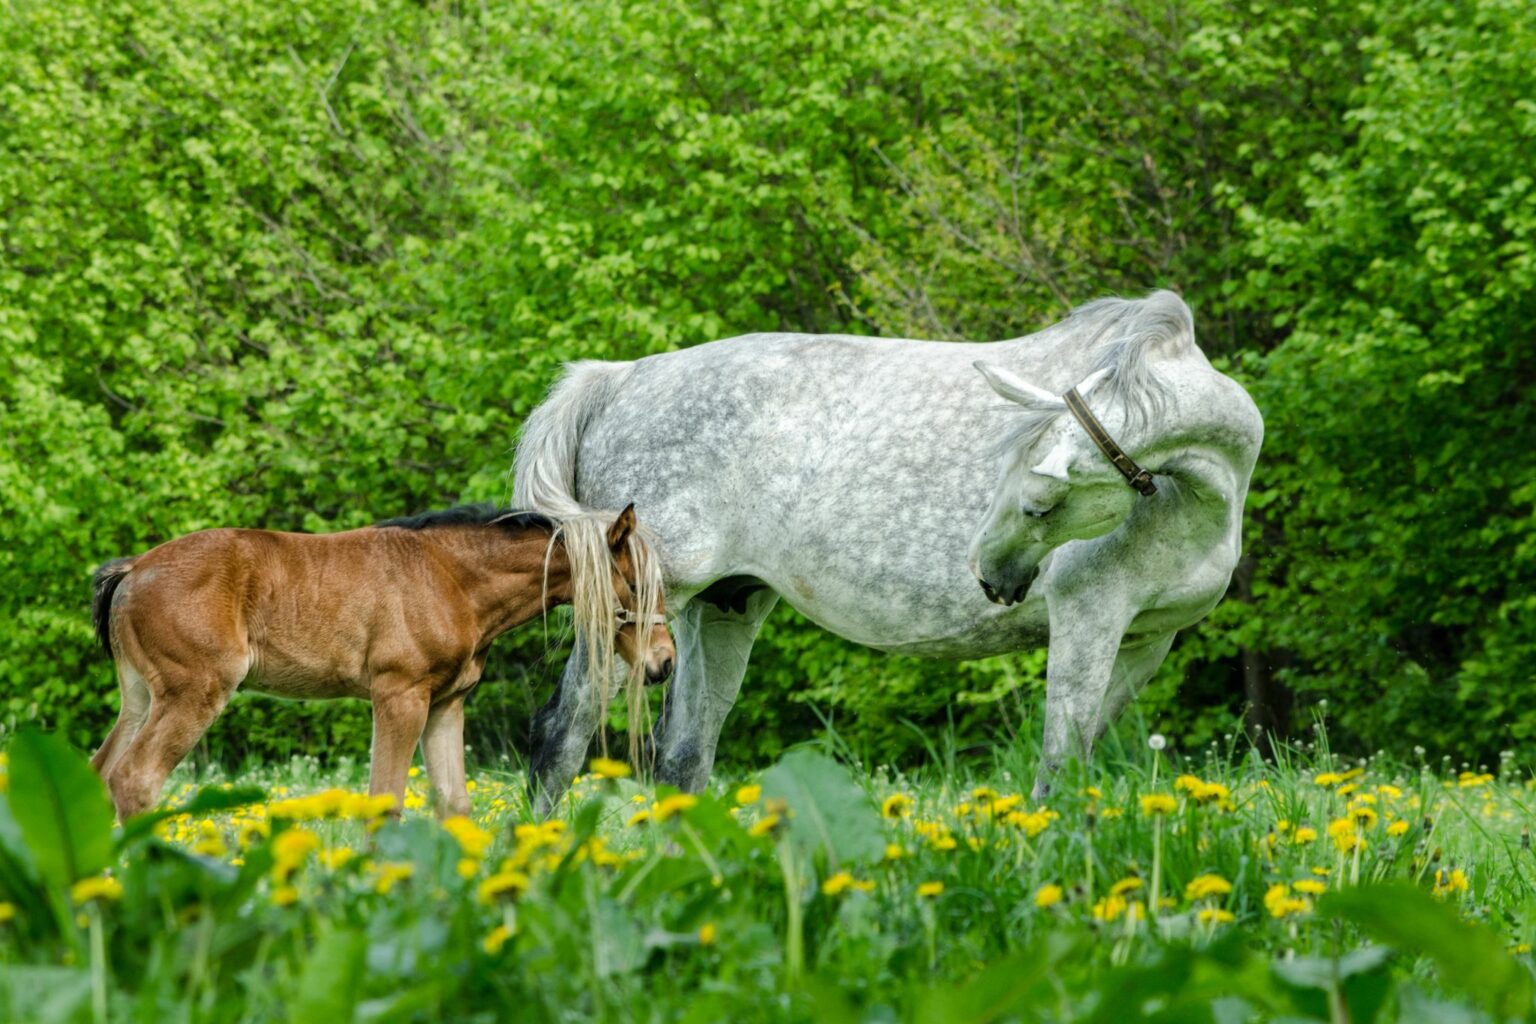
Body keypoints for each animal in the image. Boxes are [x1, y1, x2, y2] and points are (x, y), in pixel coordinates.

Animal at [89, 503, 673, 821]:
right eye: (637, 586)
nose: (663, 663)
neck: (453, 579)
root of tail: (133, 569)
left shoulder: (445, 705)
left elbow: (453, 804)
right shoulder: (400, 695)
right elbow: (385, 799)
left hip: (141, 697)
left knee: (101, 772)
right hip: (195, 692)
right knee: (135, 780)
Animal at [513, 290, 1261, 806]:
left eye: (1037, 502)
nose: (989, 574)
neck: (1194, 497)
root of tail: (617, 379)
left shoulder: (1145, 641)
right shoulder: (1089, 617)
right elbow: (1060, 761)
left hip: (721, 606)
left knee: (682, 762)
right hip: (631, 609)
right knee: (562, 737)